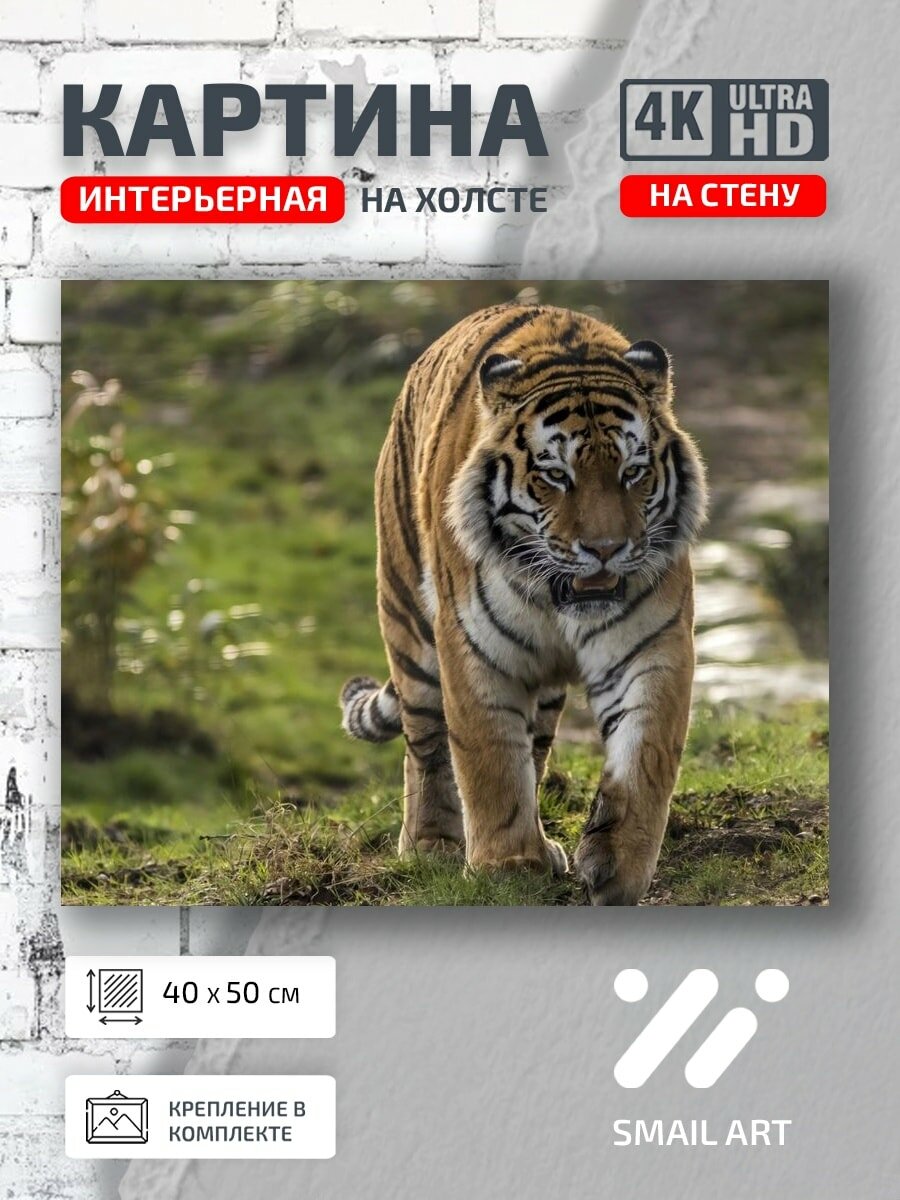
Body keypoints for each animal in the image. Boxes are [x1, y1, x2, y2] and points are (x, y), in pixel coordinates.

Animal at [340, 302, 707, 905]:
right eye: (556, 475)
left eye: (632, 471)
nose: (605, 549)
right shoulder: (473, 647)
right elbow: (489, 757)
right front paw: (508, 866)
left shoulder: (652, 646)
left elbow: (643, 755)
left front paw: (616, 866)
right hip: (409, 620)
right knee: (426, 743)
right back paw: (430, 844)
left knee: (533, 745)